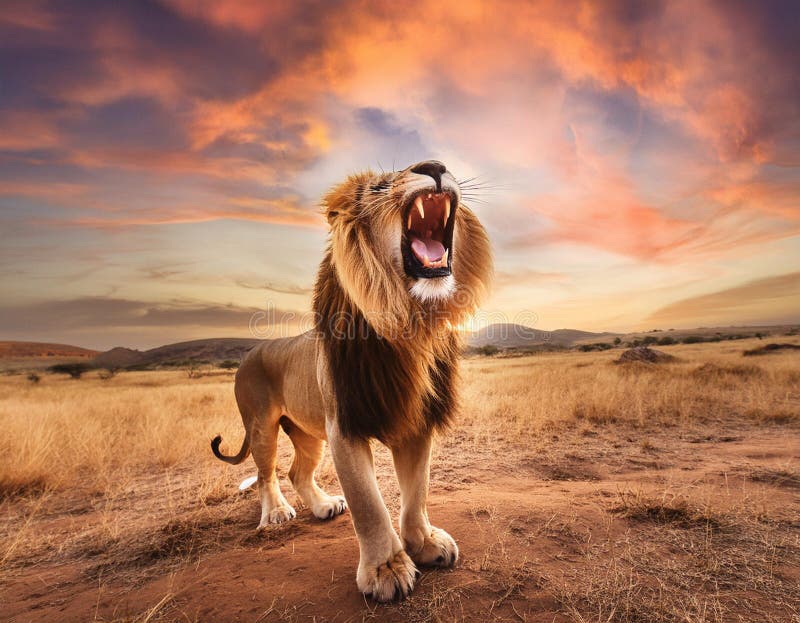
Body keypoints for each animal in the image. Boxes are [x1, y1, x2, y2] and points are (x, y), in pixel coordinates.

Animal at [211, 160, 492, 601]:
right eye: (378, 187)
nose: (434, 167)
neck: (407, 323)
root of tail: (250, 354)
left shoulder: (416, 421)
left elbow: (417, 491)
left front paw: (424, 543)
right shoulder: (344, 424)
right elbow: (368, 503)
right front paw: (386, 569)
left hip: (306, 433)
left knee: (298, 472)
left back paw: (324, 506)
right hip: (262, 426)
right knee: (266, 476)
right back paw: (277, 513)